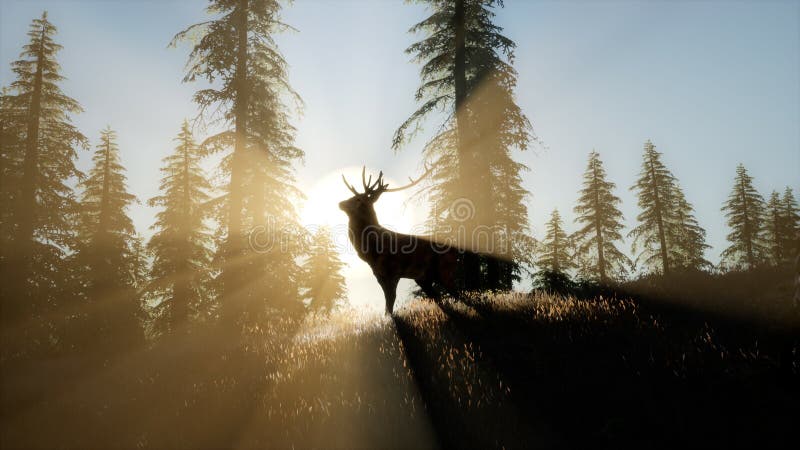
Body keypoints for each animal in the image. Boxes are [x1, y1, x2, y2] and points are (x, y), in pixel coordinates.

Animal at [339, 167, 463, 314]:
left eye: (357, 199)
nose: (340, 203)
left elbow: (390, 302)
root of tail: (457, 249)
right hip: (424, 278)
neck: (370, 252)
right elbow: (387, 305)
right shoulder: (378, 274)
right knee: (440, 297)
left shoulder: (393, 271)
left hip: (445, 269)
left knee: (459, 294)